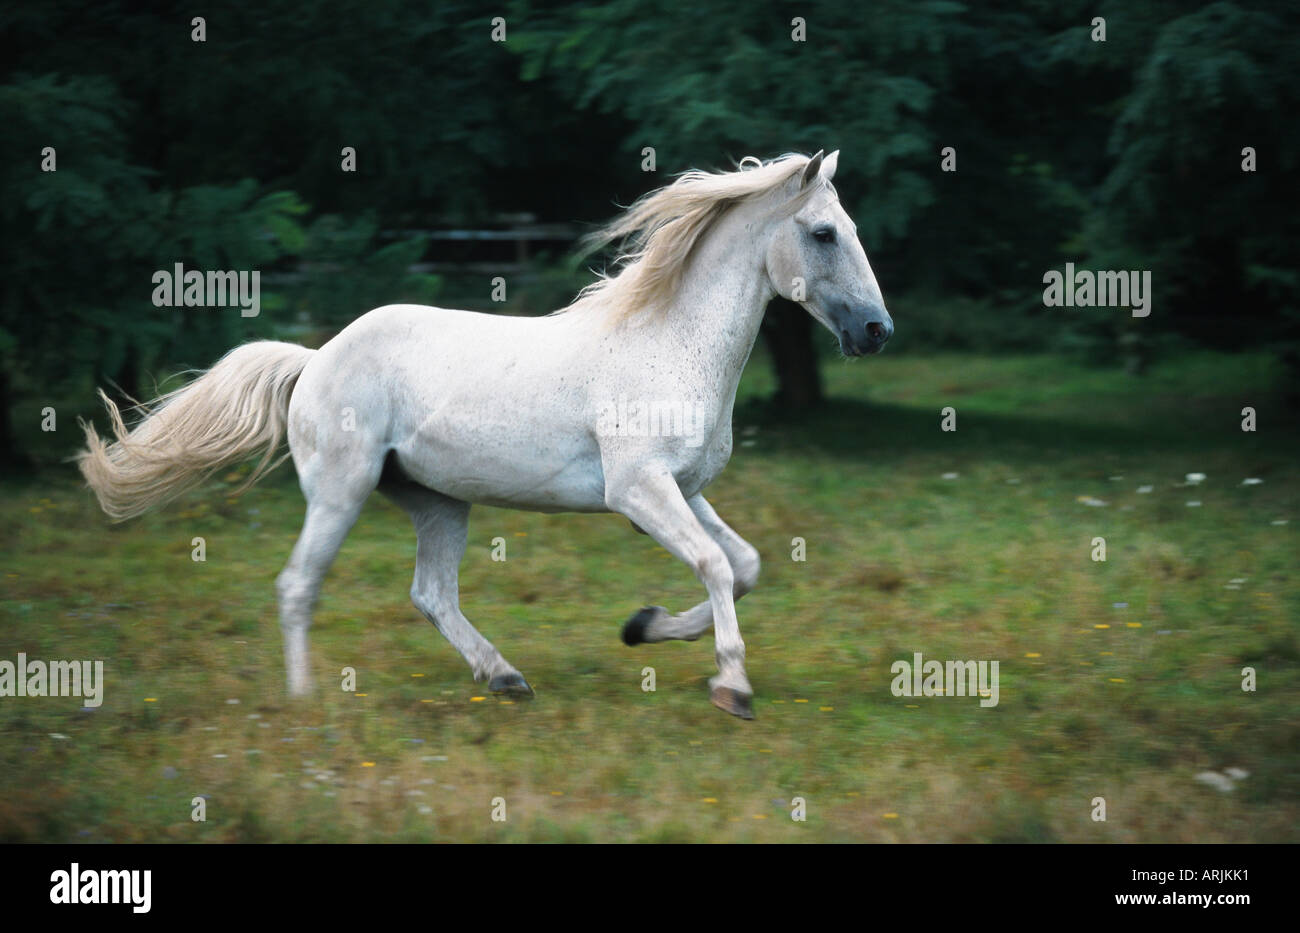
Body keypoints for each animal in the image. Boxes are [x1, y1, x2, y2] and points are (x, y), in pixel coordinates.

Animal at [77, 150, 892, 719]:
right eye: (824, 233)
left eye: (854, 231)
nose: (876, 332)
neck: (670, 343)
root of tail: (313, 359)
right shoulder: (639, 491)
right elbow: (718, 567)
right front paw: (733, 686)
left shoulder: (684, 489)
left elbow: (744, 564)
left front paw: (643, 627)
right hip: (341, 491)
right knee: (299, 585)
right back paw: (307, 702)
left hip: (438, 501)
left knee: (431, 593)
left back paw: (505, 678)